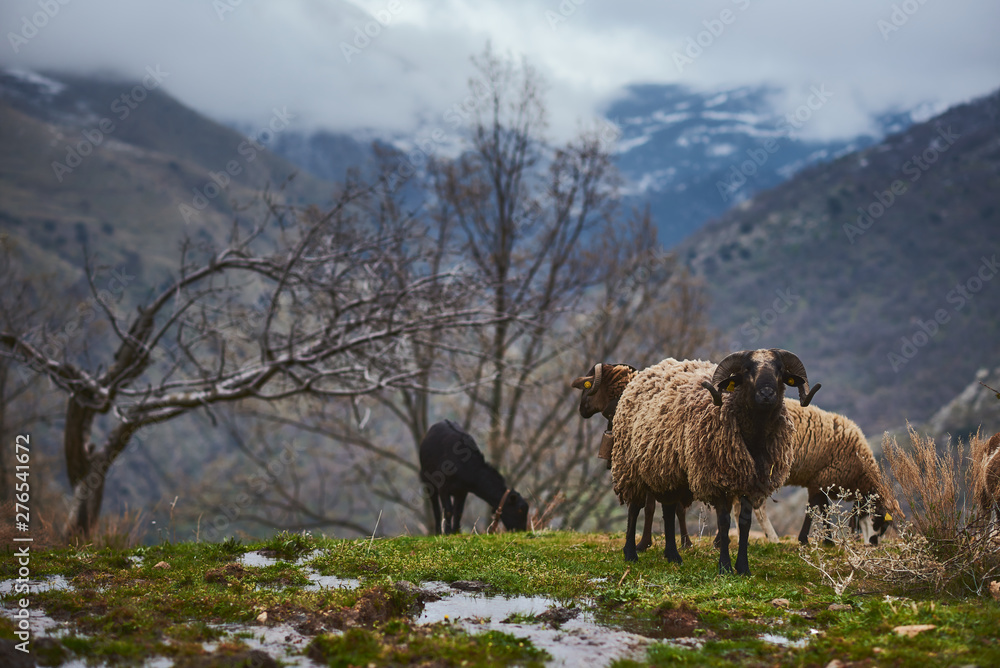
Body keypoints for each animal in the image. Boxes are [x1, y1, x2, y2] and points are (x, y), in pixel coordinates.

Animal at [611, 349, 819, 575]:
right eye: (747, 370)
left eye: (780, 370)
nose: (767, 394)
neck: (754, 436)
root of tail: (651, 369)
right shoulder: (718, 478)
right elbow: (724, 522)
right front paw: (725, 567)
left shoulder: (751, 482)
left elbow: (744, 524)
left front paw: (743, 568)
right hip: (630, 466)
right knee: (634, 508)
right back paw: (630, 554)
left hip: (668, 468)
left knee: (668, 508)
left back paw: (673, 556)